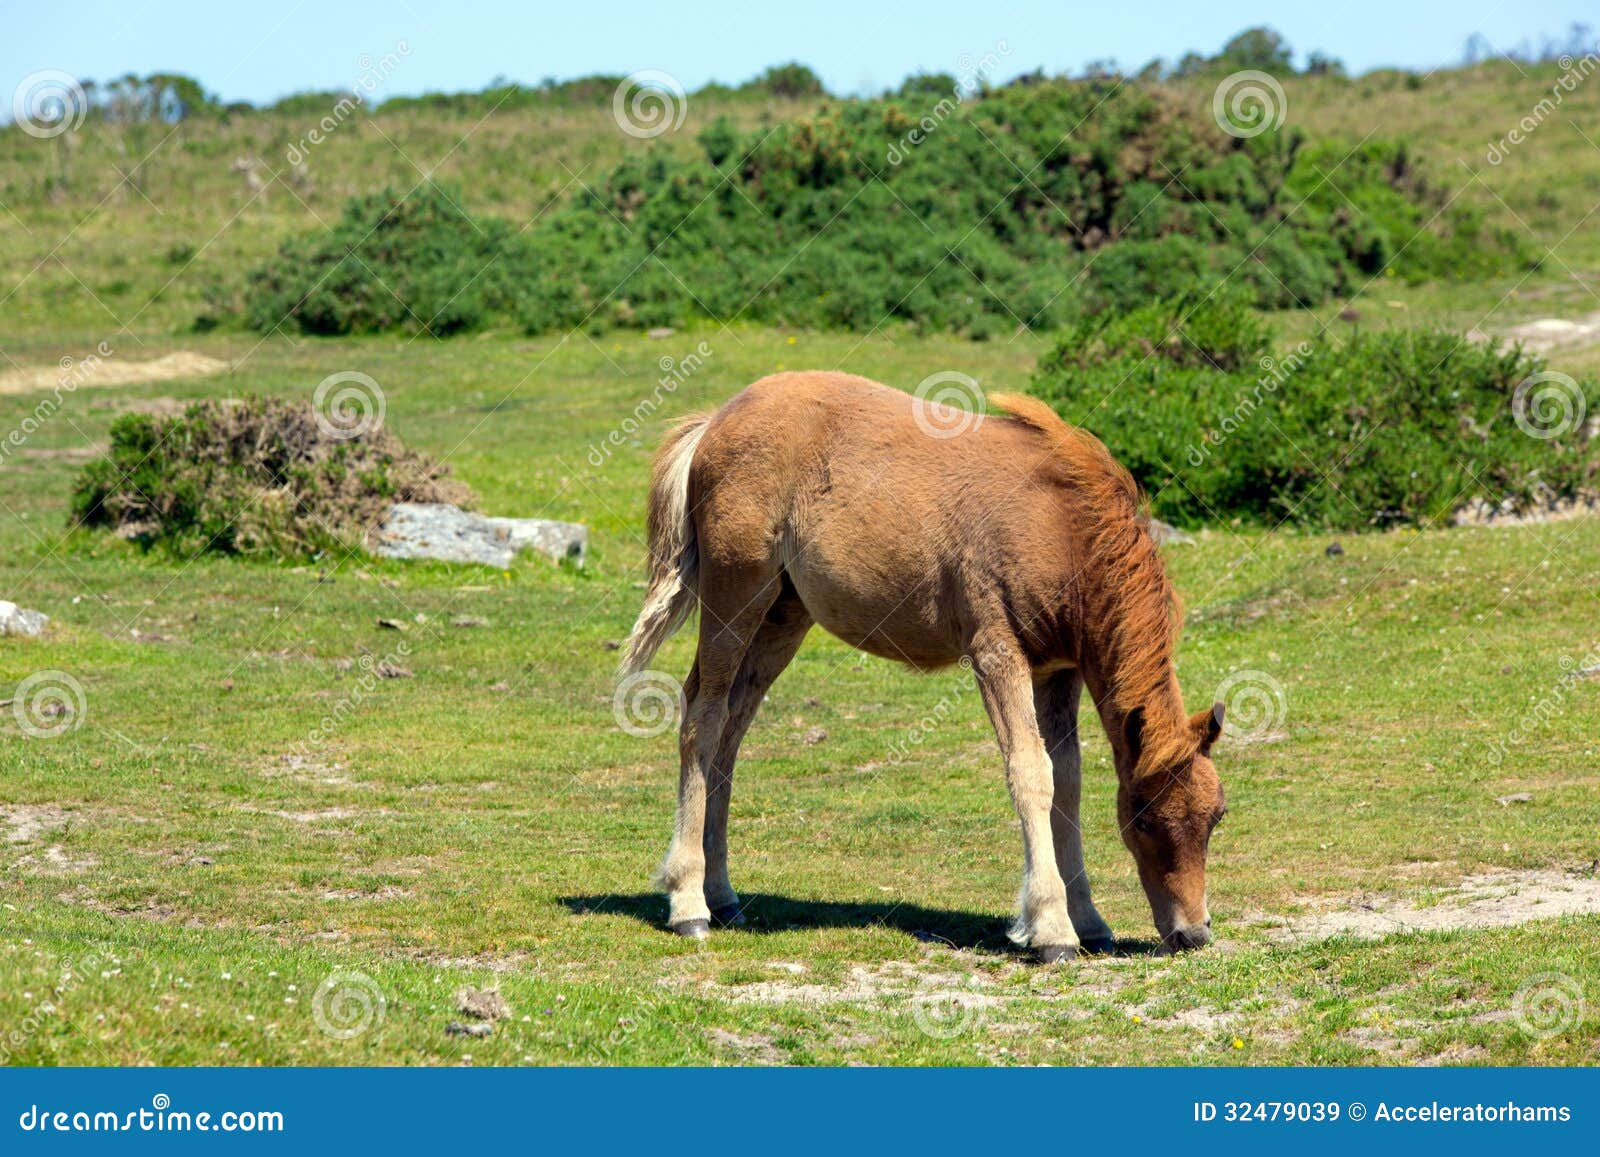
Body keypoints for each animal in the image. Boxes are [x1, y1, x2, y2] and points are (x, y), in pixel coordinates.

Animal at [618, 371, 1227, 961]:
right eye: (1143, 816)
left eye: (1216, 815)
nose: (1192, 933)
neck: (1060, 526)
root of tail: (715, 420)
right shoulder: (996, 653)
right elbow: (1031, 773)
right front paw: (1052, 929)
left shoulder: (1058, 671)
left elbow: (1069, 780)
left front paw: (1091, 921)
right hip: (735, 595)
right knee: (702, 718)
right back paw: (689, 905)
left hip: (782, 617)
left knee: (731, 731)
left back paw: (722, 896)